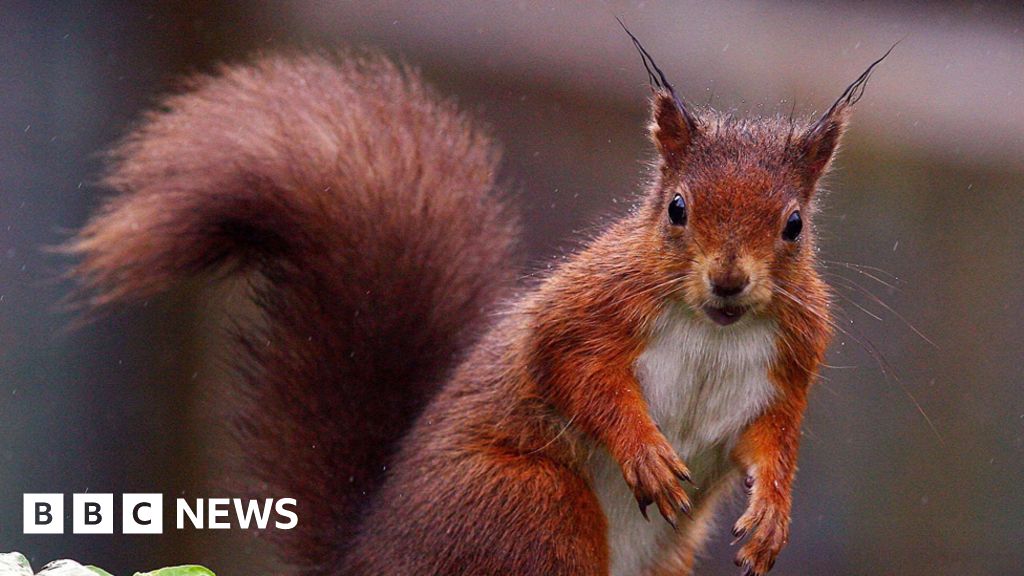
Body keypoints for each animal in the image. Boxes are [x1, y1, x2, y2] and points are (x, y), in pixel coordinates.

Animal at [67, 30, 890, 576]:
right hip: (529, 505)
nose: (728, 281)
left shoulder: (790, 363)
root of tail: (365, 559)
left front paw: (770, 515)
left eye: (794, 225)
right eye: (677, 209)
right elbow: (577, 372)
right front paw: (647, 455)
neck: (713, 329)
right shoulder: (584, 312)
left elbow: (773, 441)